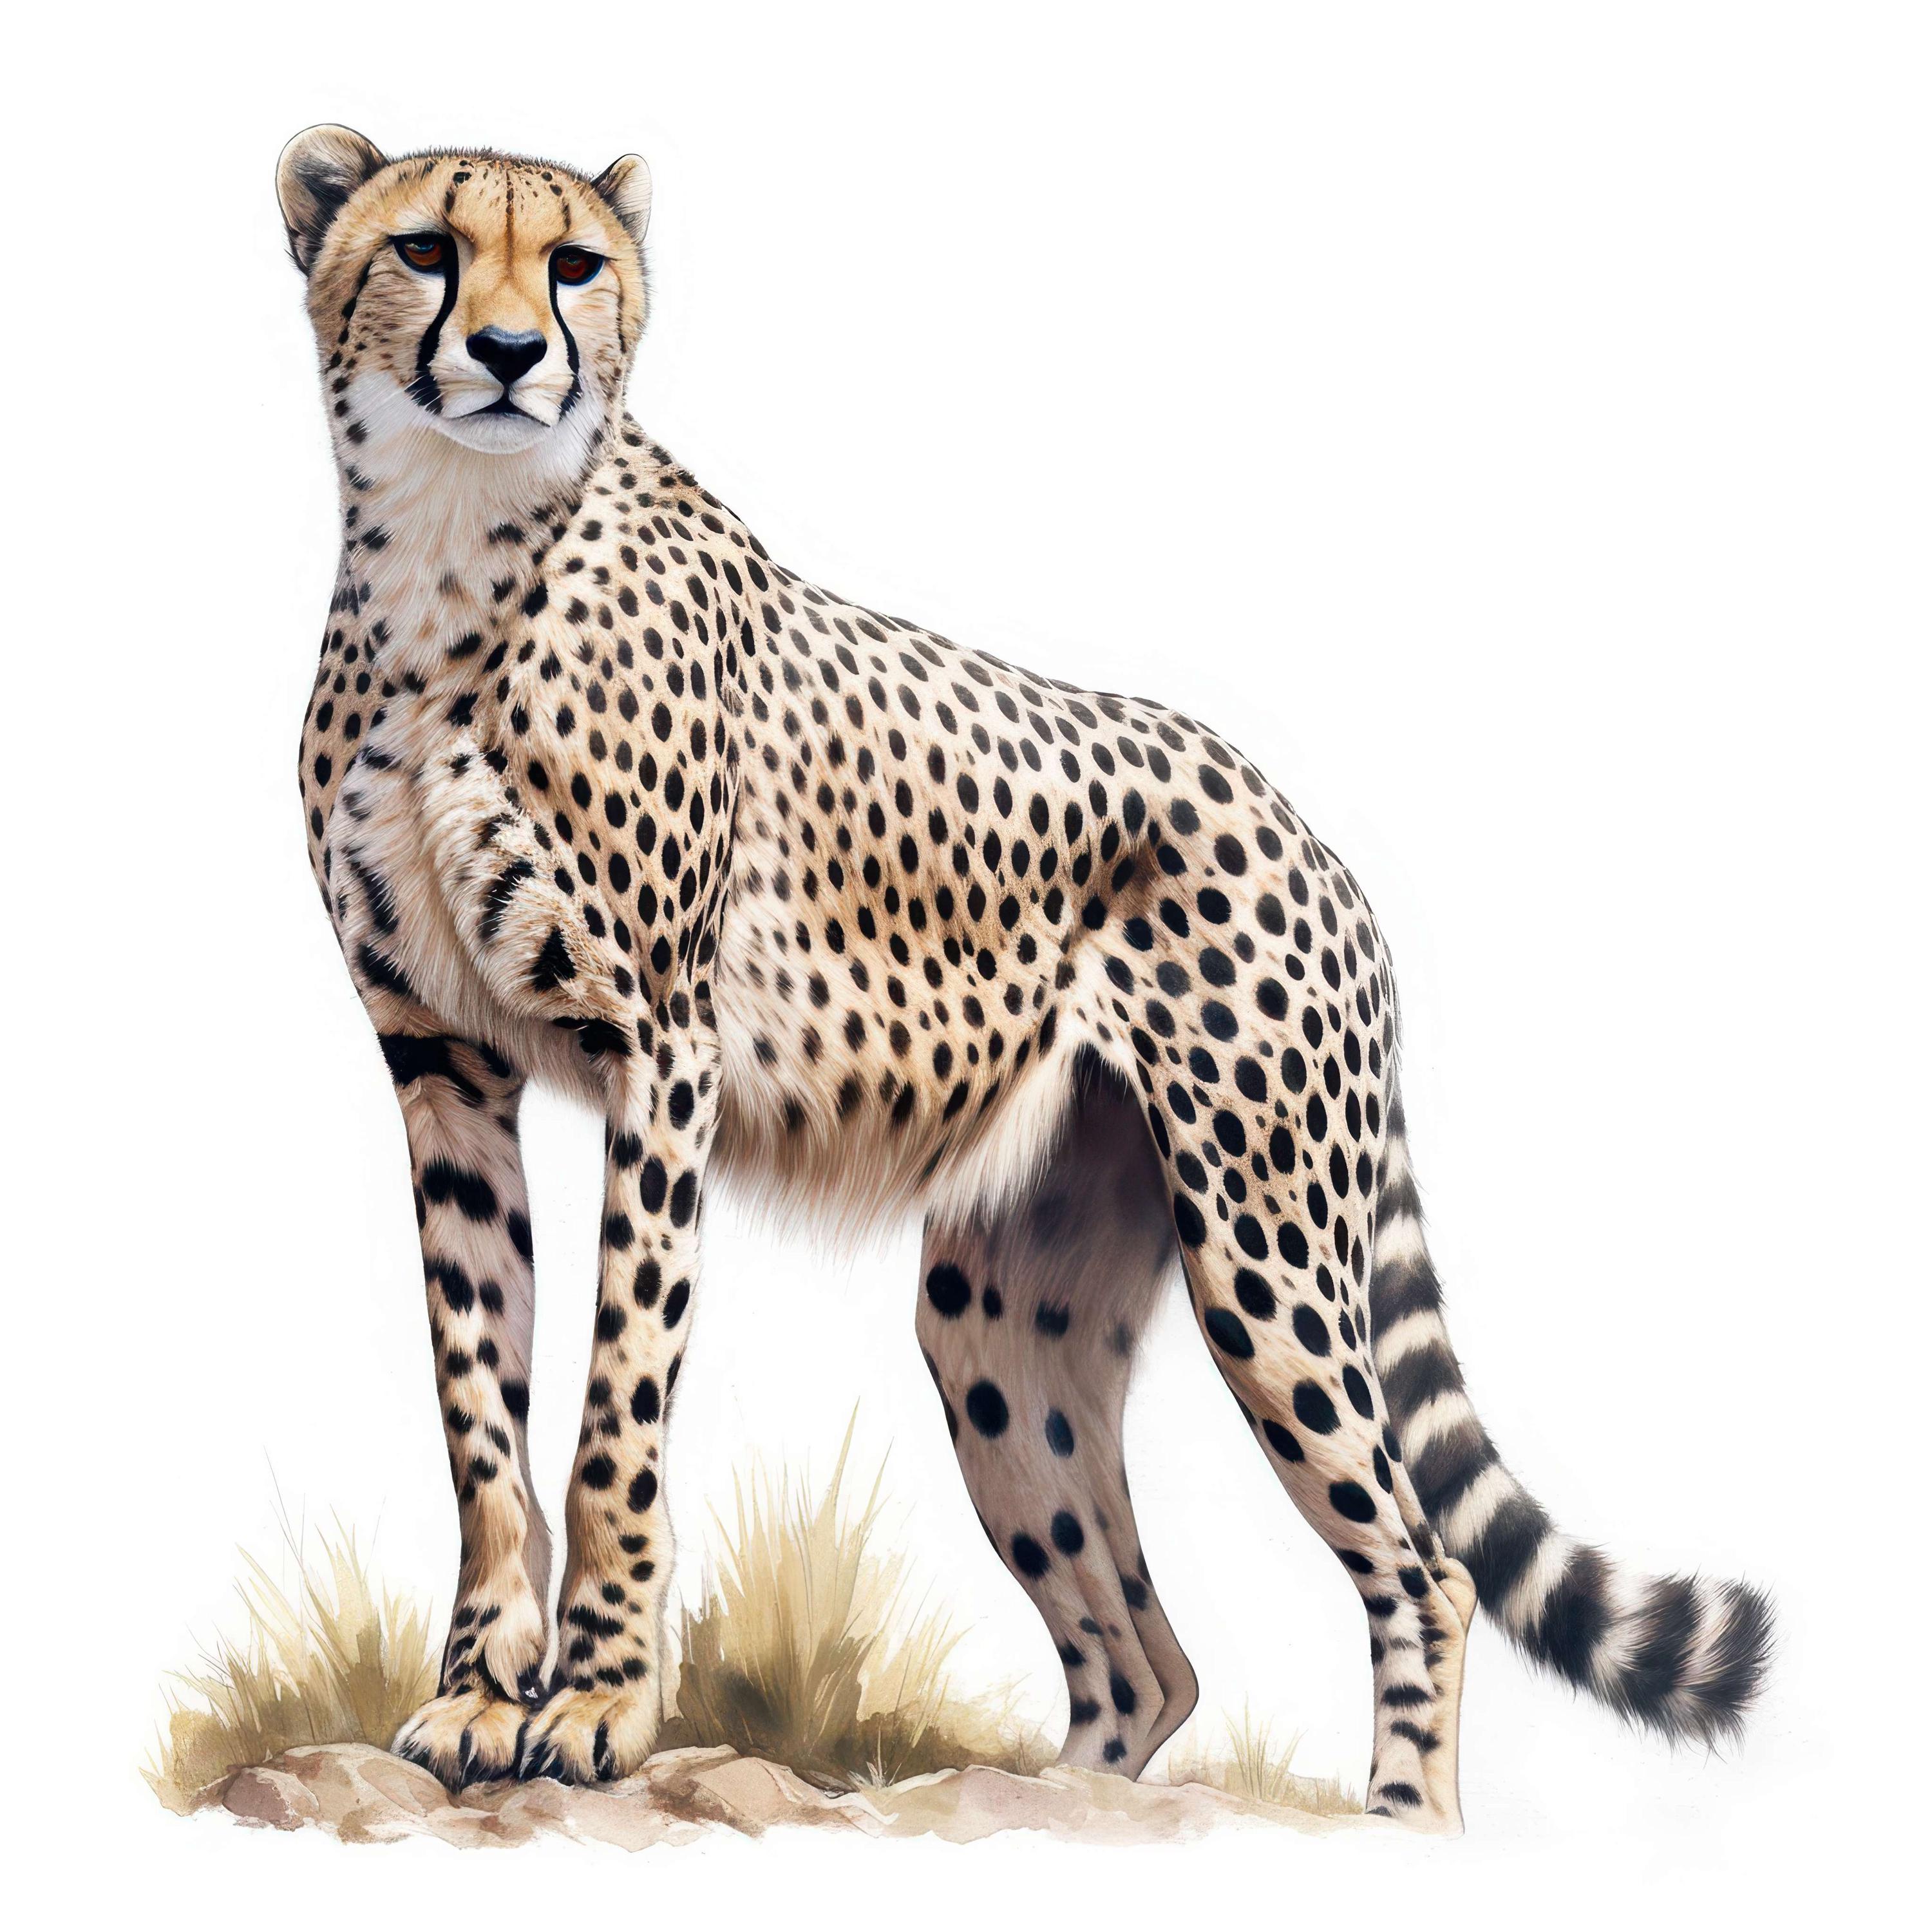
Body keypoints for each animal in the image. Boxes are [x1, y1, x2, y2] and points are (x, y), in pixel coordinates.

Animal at [277, 124, 1772, 1833]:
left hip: (1263, 1246)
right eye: (427, 249)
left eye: (574, 265)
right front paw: (478, 1694)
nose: (518, 354)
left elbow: (615, 1407)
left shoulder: (661, 1055)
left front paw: (592, 1705)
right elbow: (479, 1408)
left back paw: (1403, 1821)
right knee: (1147, 1654)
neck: (451, 556)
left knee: (1422, 1559)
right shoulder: (440, 1062)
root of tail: (1314, 842)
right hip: (1000, 1313)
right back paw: (1020, 1800)